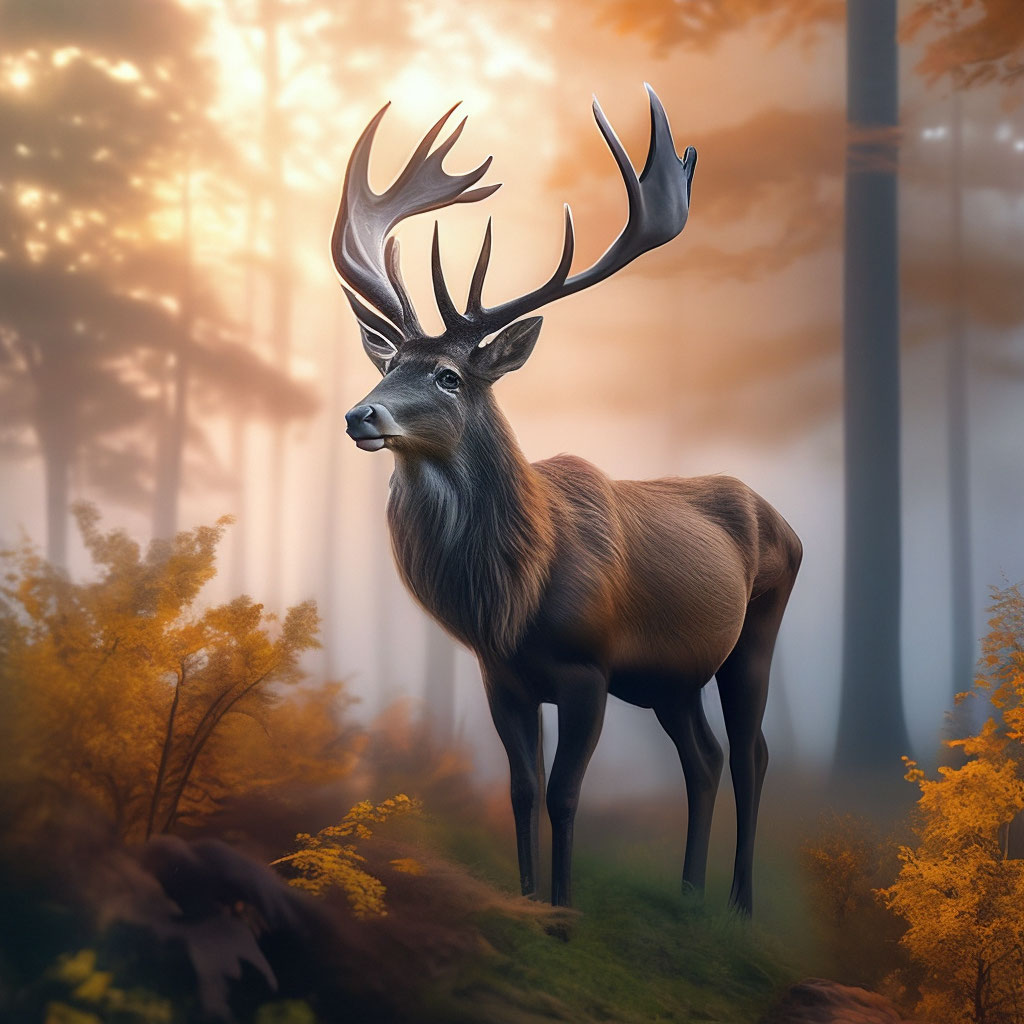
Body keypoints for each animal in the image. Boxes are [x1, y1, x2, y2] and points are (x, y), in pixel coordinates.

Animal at [332, 85, 802, 915]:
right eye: (388, 364)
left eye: (449, 376)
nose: (362, 415)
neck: (514, 596)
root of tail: (789, 524)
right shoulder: (503, 677)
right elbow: (521, 791)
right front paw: (528, 898)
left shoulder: (589, 668)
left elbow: (562, 793)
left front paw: (564, 905)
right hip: (669, 677)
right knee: (705, 756)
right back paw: (688, 895)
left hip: (758, 627)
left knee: (752, 752)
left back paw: (740, 906)